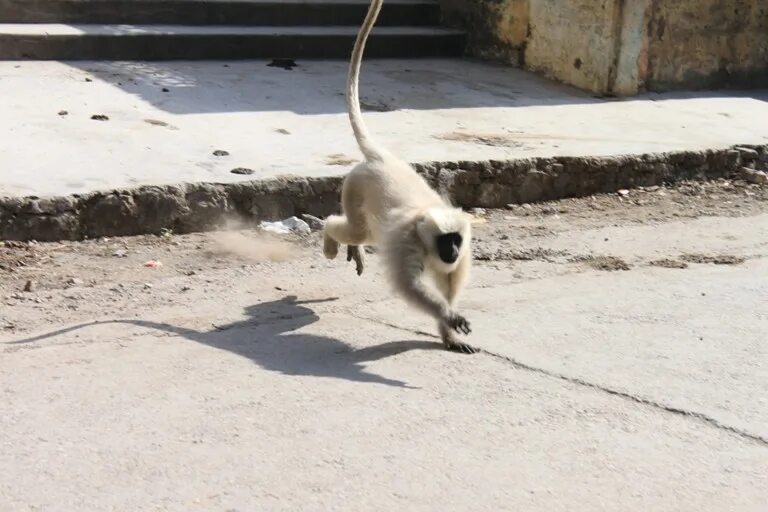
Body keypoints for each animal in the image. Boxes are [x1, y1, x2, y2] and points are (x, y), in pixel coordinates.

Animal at [320, 0, 476, 352]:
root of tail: (383, 158)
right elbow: (411, 286)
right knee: (354, 229)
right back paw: (331, 240)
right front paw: (450, 318)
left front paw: (448, 332)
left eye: (456, 240)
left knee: (363, 232)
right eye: (445, 240)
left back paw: (351, 249)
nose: (452, 251)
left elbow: (449, 283)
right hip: (355, 188)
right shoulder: (407, 240)